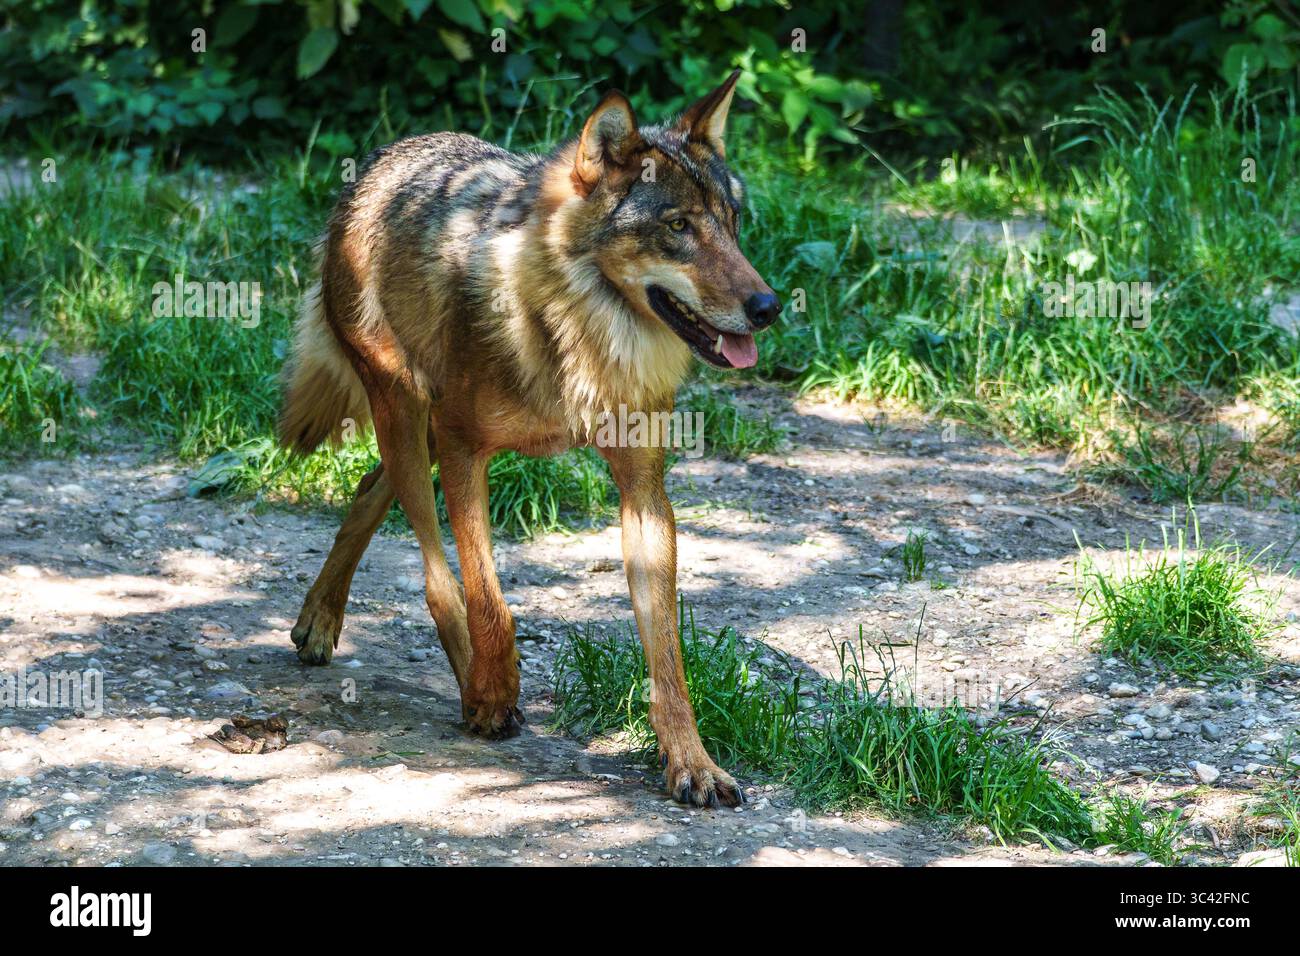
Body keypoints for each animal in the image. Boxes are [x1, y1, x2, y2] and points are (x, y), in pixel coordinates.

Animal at [278, 69, 780, 807]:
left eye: (733, 223)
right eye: (678, 227)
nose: (768, 307)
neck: (579, 331)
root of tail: (381, 159)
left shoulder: (644, 492)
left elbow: (667, 655)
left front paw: (692, 765)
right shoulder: (466, 450)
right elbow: (490, 601)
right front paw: (494, 692)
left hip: (419, 436)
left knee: (371, 488)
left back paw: (320, 620)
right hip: (408, 417)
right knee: (434, 572)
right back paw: (469, 686)